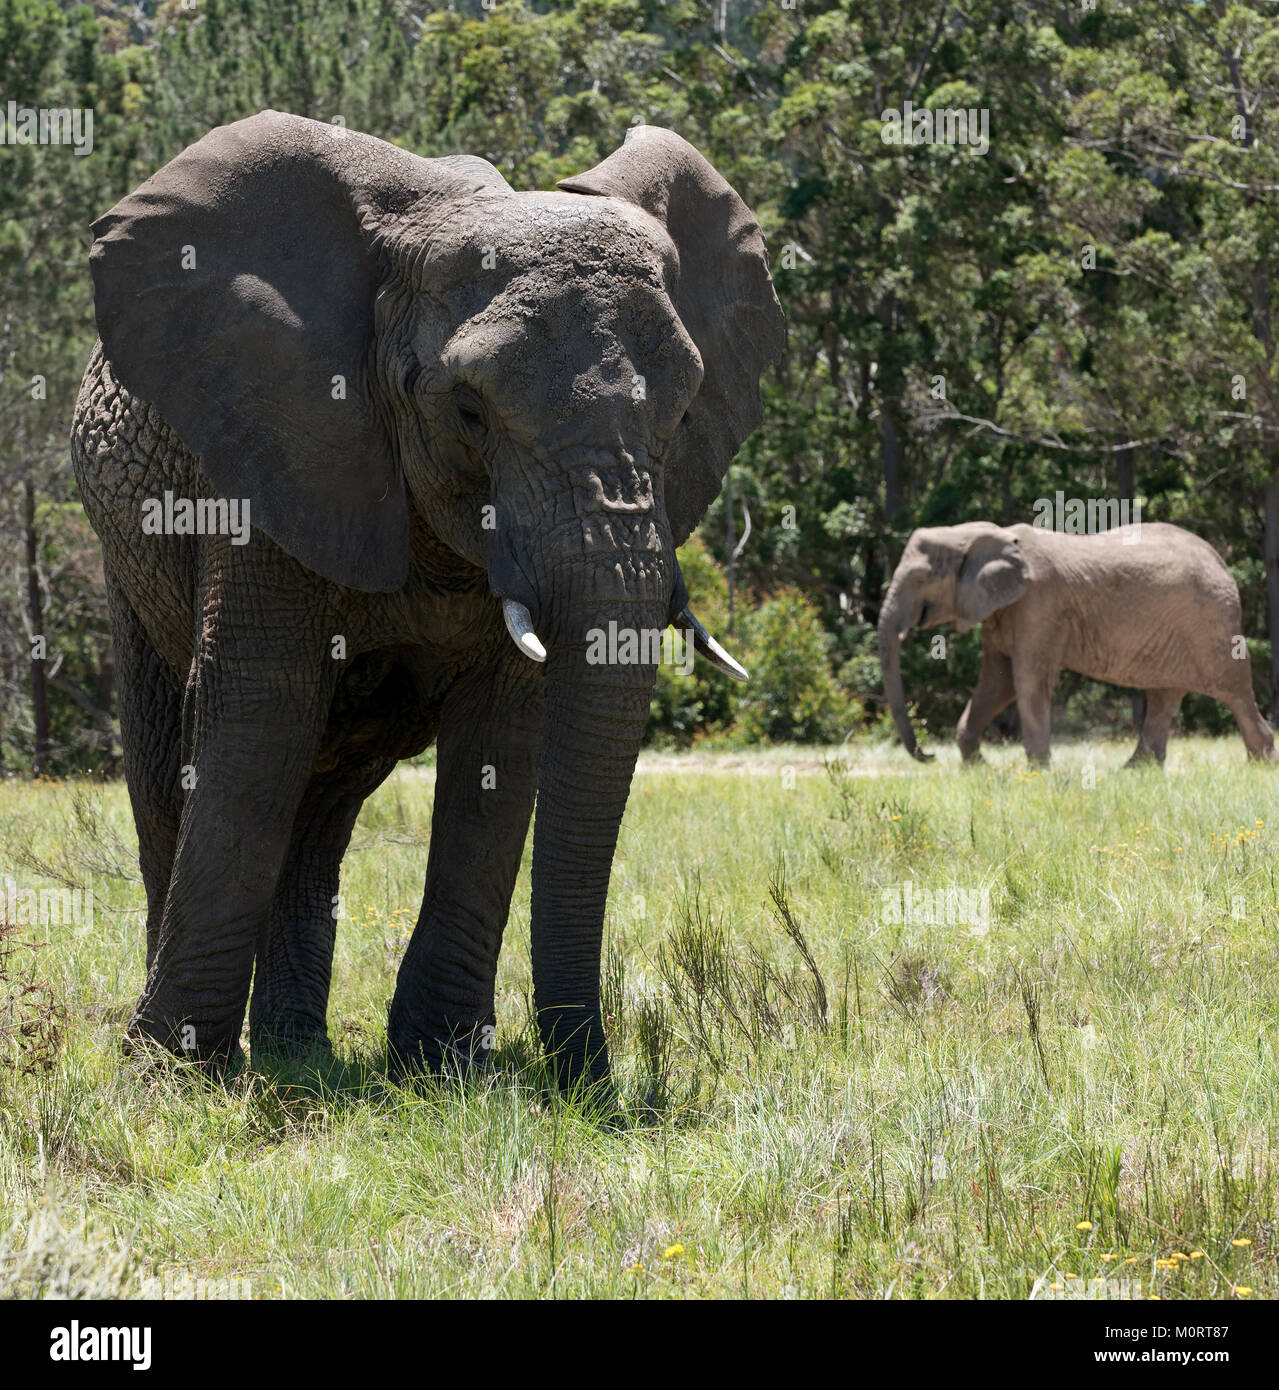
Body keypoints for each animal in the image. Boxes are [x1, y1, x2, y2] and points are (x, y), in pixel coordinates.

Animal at [71, 110, 784, 1091]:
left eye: (682, 416)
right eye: (469, 411)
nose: (587, 1078)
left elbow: (503, 737)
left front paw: (444, 1064)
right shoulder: (269, 449)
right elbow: (260, 710)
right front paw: (175, 1078)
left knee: (320, 806)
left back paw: (300, 1052)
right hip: (127, 556)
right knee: (174, 776)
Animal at [878, 520, 1277, 766]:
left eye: (919, 578)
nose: (929, 755)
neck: (984, 535)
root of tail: (1221, 561)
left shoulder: (1039, 605)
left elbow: (1027, 680)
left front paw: (1037, 773)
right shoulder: (1002, 610)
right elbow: (996, 683)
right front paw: (976, 768)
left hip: (1212, 623)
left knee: (1234, 691)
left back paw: (1260, 763)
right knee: (1165, 695)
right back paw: (1135, 771)